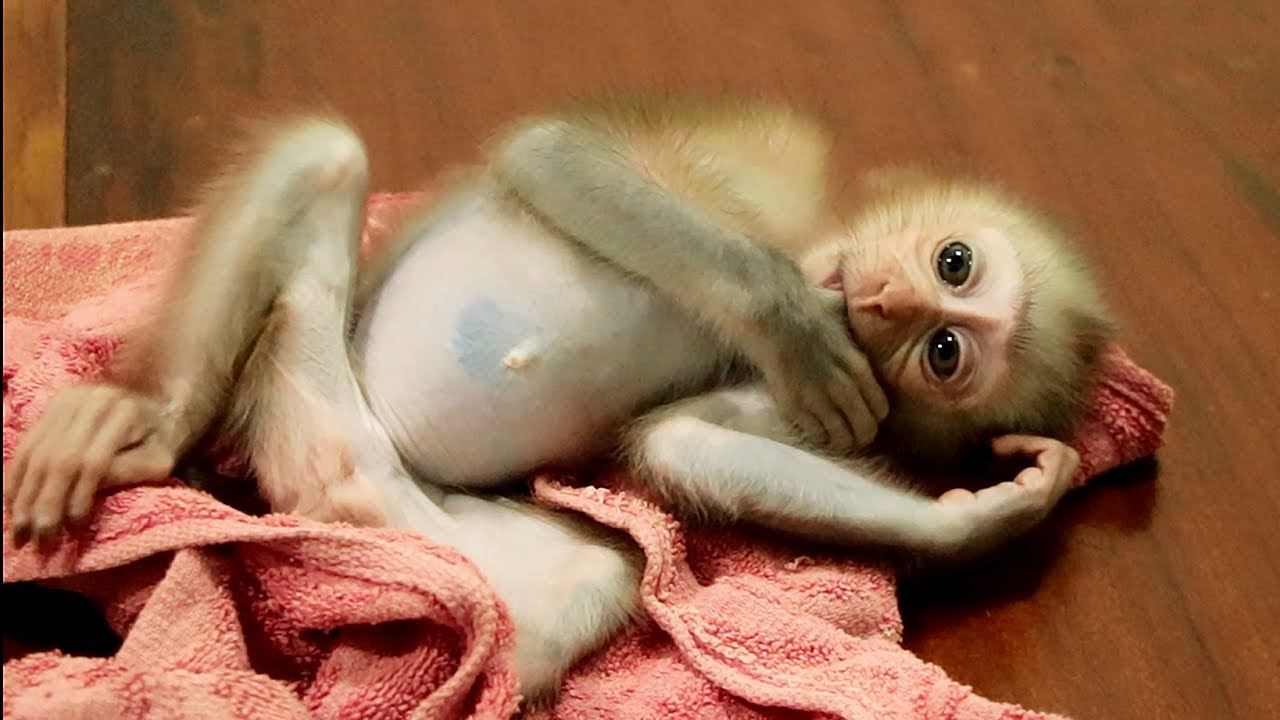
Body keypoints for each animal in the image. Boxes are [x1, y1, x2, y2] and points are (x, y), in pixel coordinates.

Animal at [3, 95, 1113, 699]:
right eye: (954, 262)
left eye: (942, 352)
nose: (885, 303)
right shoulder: (769, 181)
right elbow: (550, 156)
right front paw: (786, 312)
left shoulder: (800, 392)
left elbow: (674, 445)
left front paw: (993, 510)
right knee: (324, 149)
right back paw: (145, 426)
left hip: (376, 479)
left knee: (580, 580)